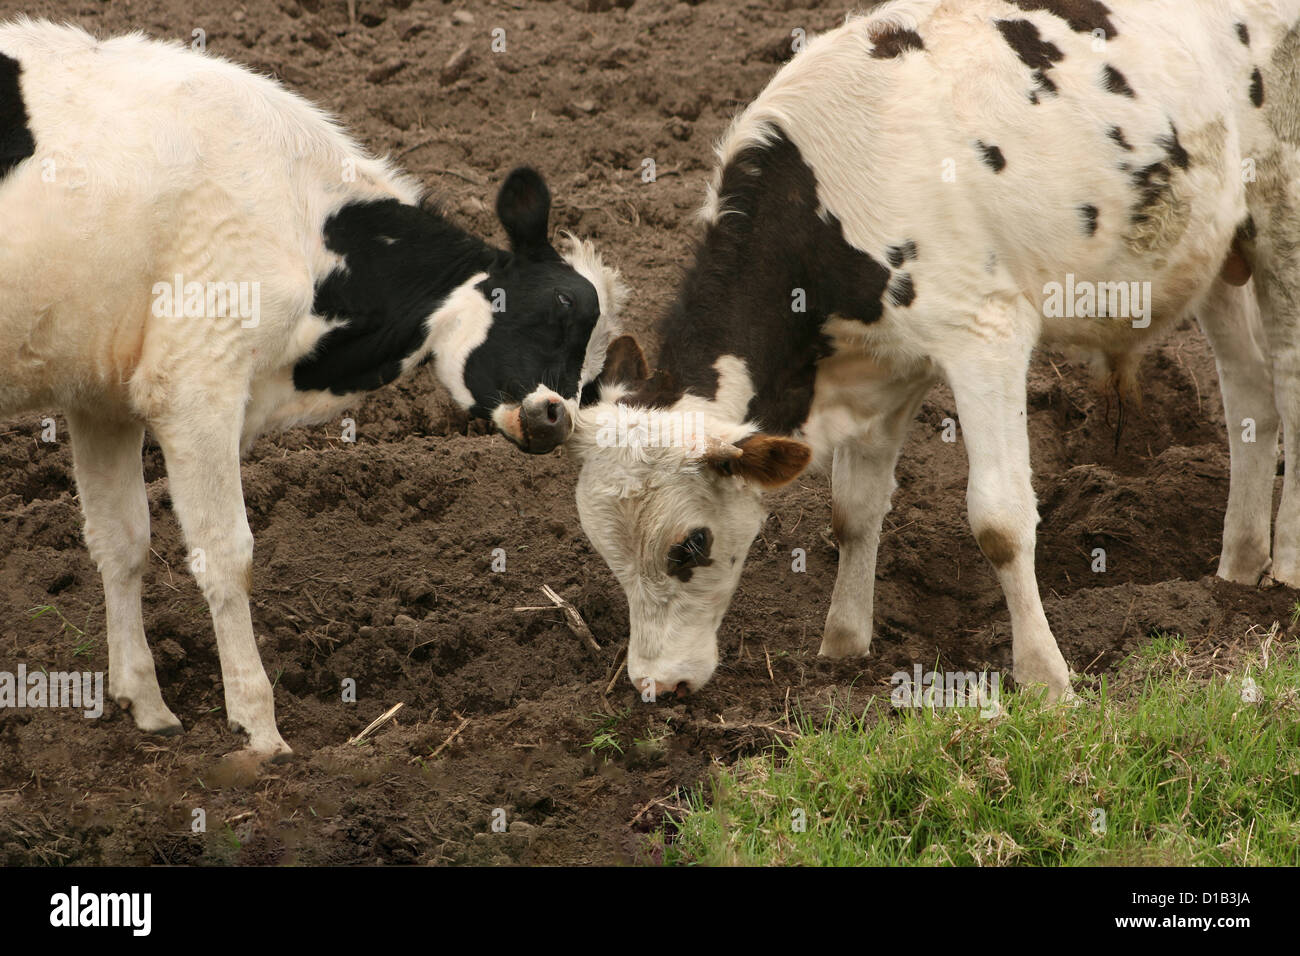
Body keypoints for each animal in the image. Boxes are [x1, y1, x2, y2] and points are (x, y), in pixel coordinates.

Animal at [0, 20, 624, 758]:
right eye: (556, 309)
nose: (558, 419)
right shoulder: (195, 384)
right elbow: (227, 555)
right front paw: (260, 728)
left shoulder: (102, 394)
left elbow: (121, 541)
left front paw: (146, 704)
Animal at [562, 0, 1300, 701]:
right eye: (602, 549)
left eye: (691, 544)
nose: (657, 686)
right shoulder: (880, 362)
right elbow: (853, 512)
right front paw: (842, 647)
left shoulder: (986, 334)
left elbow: (1000, 521)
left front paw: (1047, 680)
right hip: (1212, 251)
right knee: (1250, 394)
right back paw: (1236, 569)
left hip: (1282, 217)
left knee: (1289, 385)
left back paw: (1286, 568)